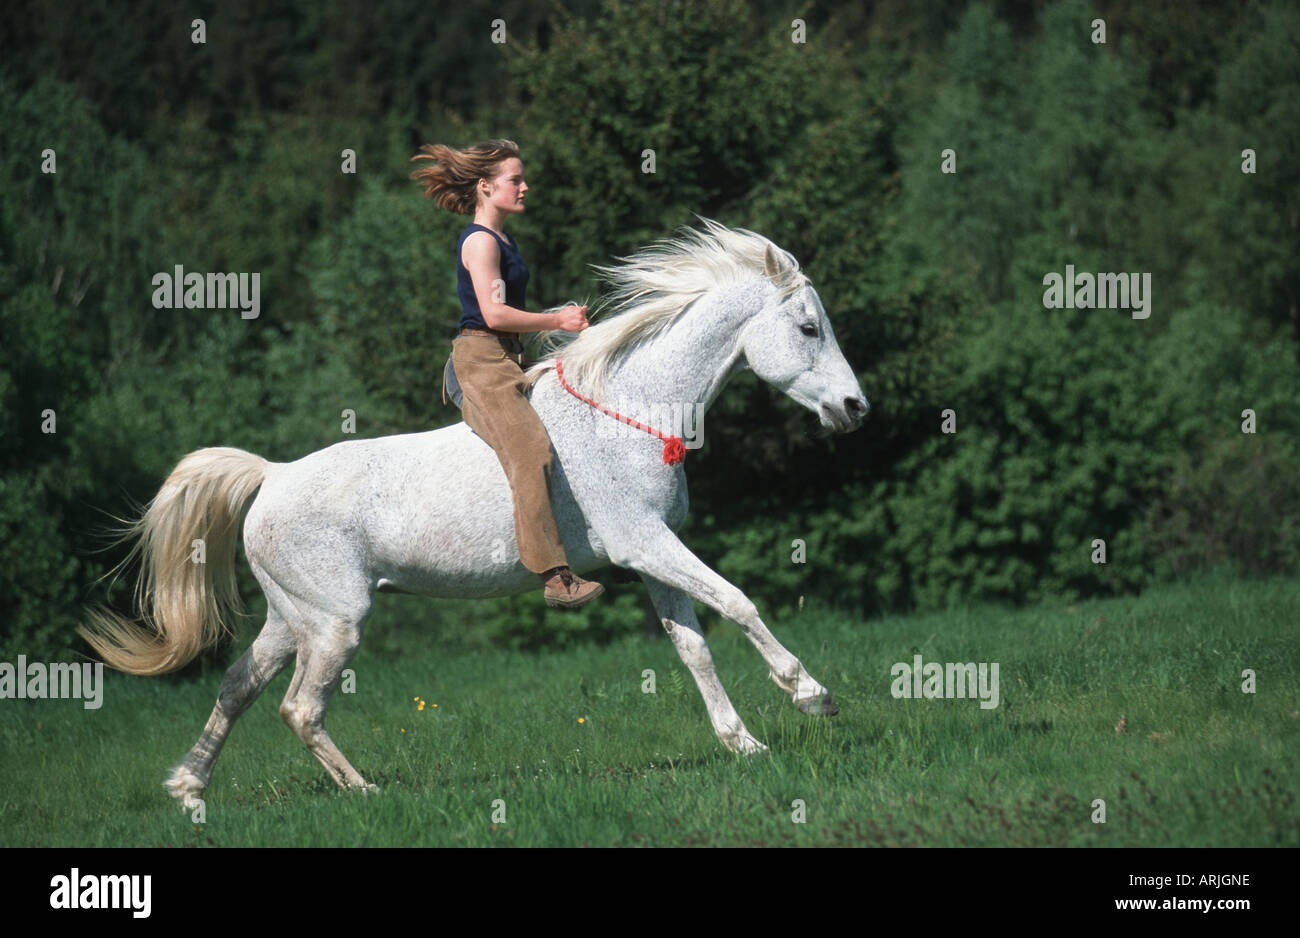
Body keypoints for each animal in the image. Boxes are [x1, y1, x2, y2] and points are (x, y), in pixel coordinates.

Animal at [80, 217, 870, 808]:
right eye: (808, 328)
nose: (855, 408)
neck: (629, 413)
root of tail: (271, 478)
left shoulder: (654, 556)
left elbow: (693, 648)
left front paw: (744, 744)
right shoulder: (644, 543)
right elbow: (738, 603)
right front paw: (813, 697)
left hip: (291, 617)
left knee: (239, 684)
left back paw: (189, 789)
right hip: (336, 623)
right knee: (299, 708)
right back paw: (364, 793)